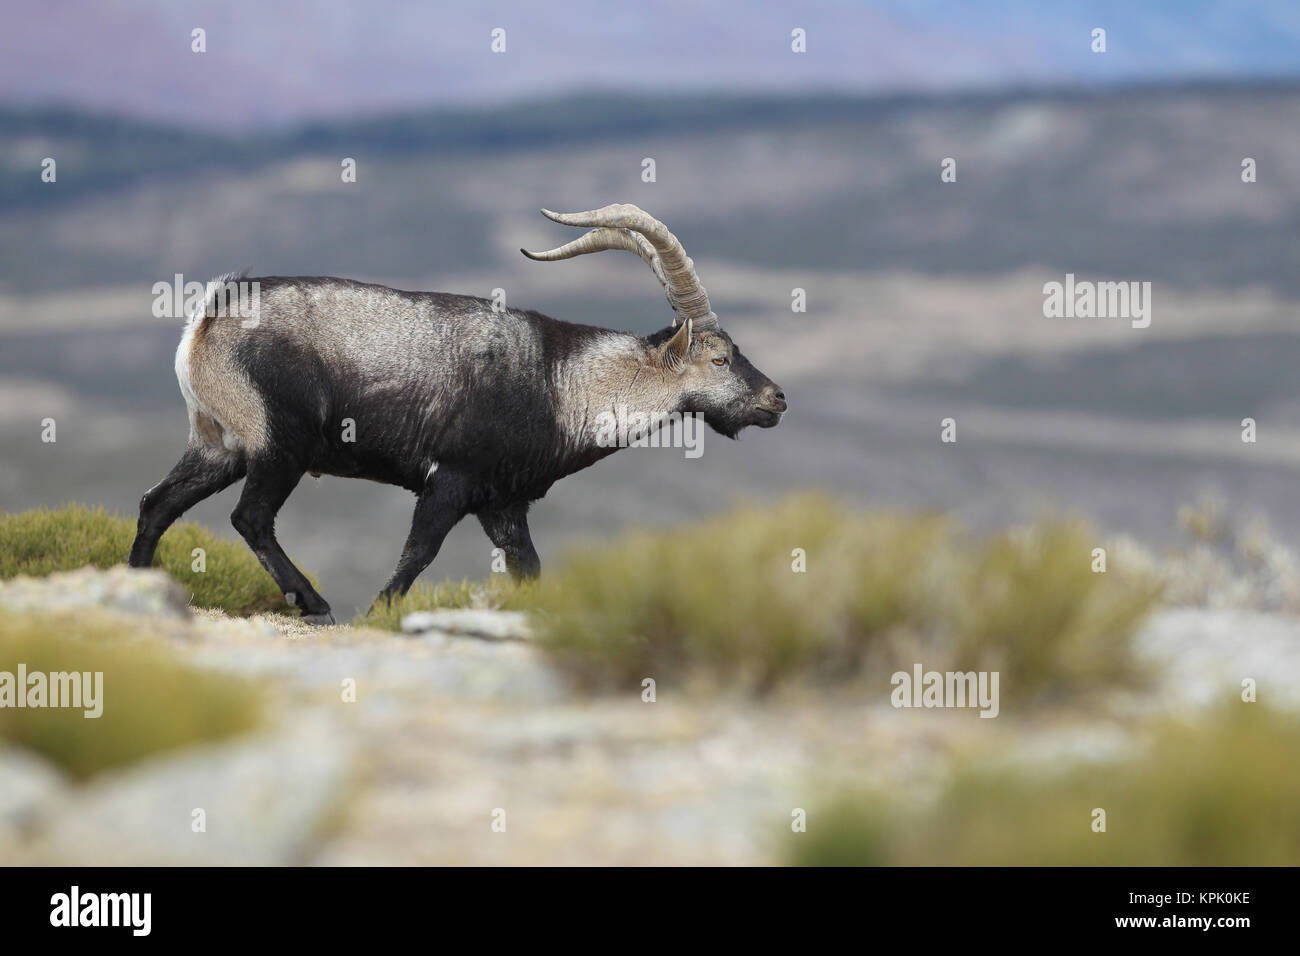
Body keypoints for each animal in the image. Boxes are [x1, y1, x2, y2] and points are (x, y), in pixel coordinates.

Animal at [127, 204, 787, 622]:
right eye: (721, 358)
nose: (776, 399)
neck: (562, 381)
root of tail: (209, 317)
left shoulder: (502, 503)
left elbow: (528, 567)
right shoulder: (451, 480)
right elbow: (419, 551)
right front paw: (378, 610)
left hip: (220, 442)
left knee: (158, 502)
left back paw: (136, 581)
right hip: (278, 445)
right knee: (251, 518)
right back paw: (314, 603)